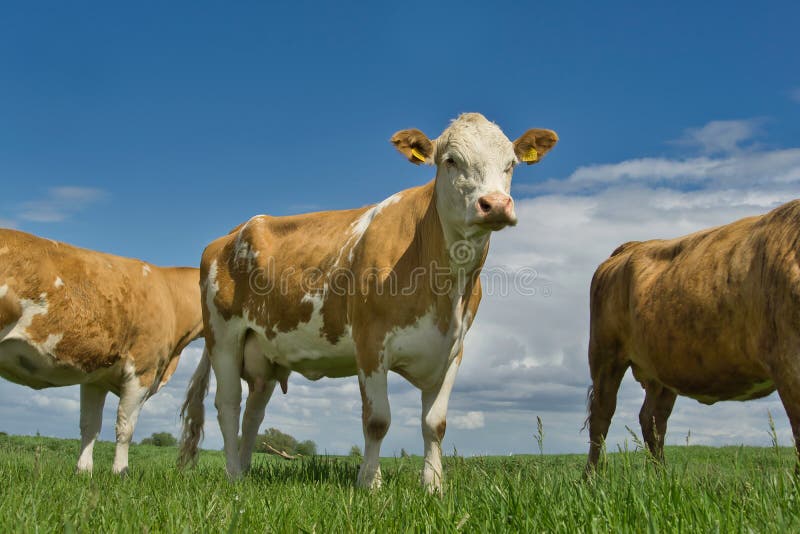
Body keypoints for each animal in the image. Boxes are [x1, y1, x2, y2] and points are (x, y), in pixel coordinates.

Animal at [0, 228, 203, 474]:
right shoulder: (142, 370)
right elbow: (125, 428)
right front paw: (120, 472)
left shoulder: (95, 378)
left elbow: (90, 425)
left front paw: (83, 471)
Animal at [177, 113, 558, 492]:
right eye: (450, 160)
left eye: (511, 164)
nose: (495, 204)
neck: (442, 288)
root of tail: (235, 231)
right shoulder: (370, 342)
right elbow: (377, 420)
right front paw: (370, 484)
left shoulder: (452, 349)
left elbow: (435, 424)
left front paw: (433, 486)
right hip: (224, 337)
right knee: (228, 405)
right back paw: (232, 475)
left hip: (264, 352)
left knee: (254, 413)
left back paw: (244, 471)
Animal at [584, 199, 800, 472]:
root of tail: (633, 246)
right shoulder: (788, 361)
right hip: (605, 353)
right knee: (601, 417)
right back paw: (590, 478)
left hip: (660, 364)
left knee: (652, 418)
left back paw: (662, 476)